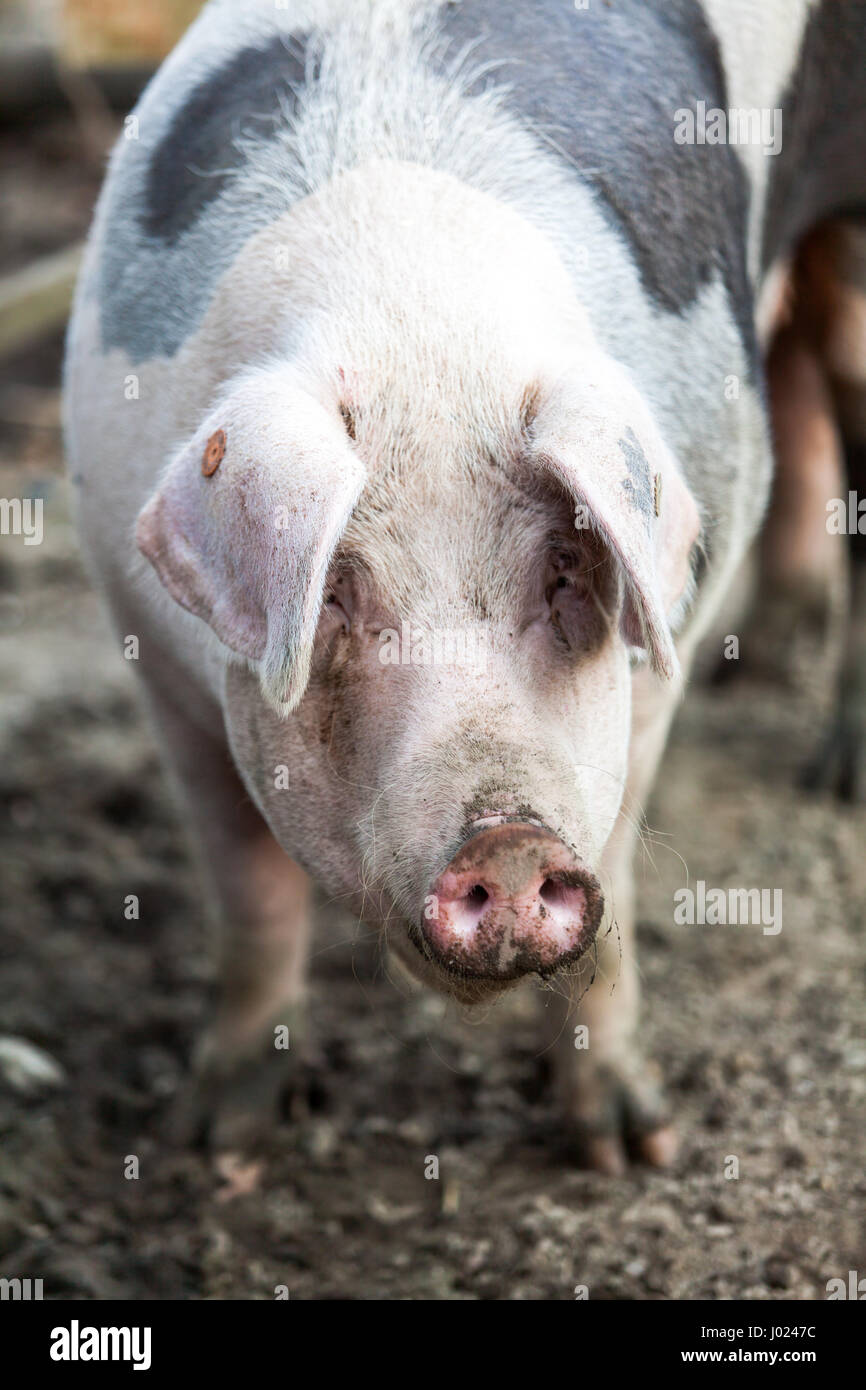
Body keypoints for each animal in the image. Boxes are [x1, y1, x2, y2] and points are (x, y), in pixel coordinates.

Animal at [64, 0, 866, 1169]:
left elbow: (615, 877)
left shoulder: (649, 670)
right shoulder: (155, 659)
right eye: (336, 594)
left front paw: (627, 1149)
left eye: (566, 571)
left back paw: (834, 777)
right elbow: (247, 892)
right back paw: (762, 664)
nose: (510, 839)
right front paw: (219, 1145)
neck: (417, 323)